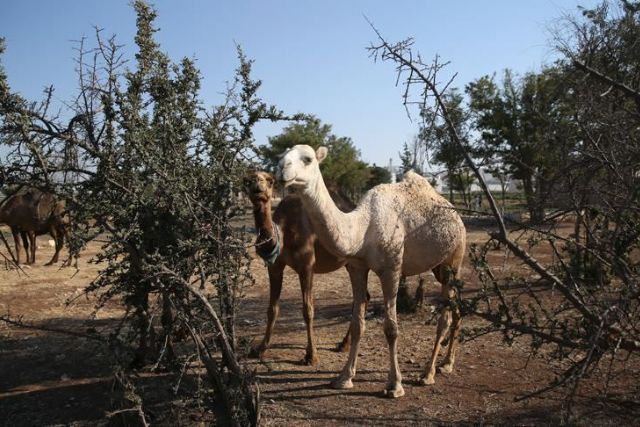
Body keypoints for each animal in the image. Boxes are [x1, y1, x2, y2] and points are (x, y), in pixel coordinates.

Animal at [244, 171, 369, 365]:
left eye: (270, 181)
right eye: (248, 181)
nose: (258, 183)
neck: (283, 233)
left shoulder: (307, 266)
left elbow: (308, 310)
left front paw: (311, 355)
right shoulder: (275, 267)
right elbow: (272, 309)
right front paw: (260, 349)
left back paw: (344, 344)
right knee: (362, 298)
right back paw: (343, 344)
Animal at [278, 145, 466, 398]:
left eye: (307, 159)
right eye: (281, 156)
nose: (281, 169)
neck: (362, 229)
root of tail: (457, 214)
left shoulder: (392, 269)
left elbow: (391, 328)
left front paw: (394, 385)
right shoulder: (356, 267)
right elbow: (358, 324)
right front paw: (344, 377)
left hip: (453, 259)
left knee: (445, 316)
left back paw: (428, 373)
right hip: (438, 267)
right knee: (457, 309)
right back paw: (447, 363)